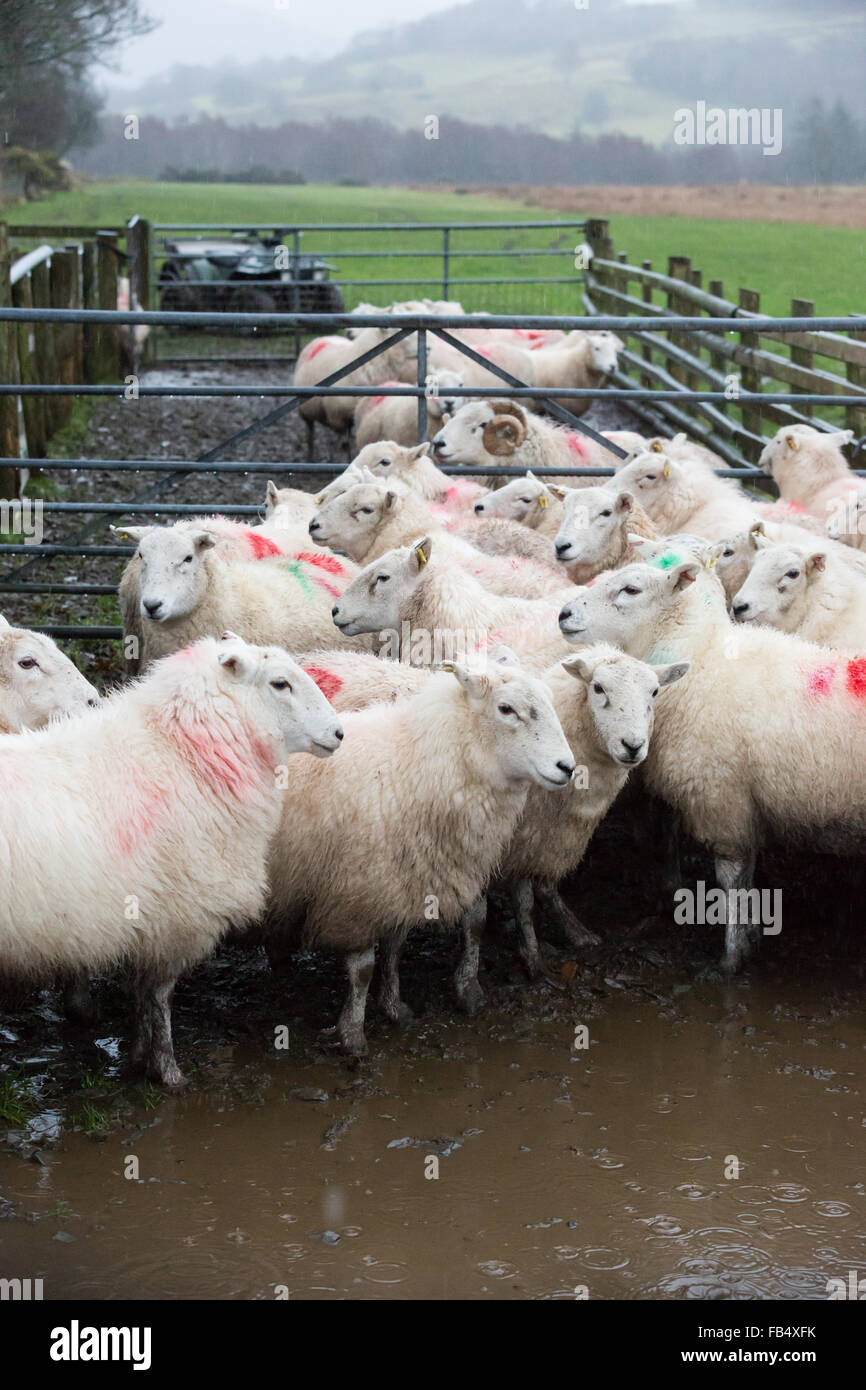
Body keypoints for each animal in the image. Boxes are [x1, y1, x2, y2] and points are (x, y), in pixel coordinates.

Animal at [0, 634, 344, 1085]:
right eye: (280, 683)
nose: (339, 733)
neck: (179, 750)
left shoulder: (153, 921)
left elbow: (142, 994)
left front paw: (136, 1058)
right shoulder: (178, 914)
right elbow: (158, 997)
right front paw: (166, 1070)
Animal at [264, 655, 575, 1053]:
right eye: (506, 709)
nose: (567, 767)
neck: (413, 764)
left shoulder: (402, 882)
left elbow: (395, 949)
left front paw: (394, 1006)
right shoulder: (357, 894)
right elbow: (362, 969)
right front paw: (354, 1036)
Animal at [557, 549, 866, 971]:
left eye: (630, 589)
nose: (564, 614)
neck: (698, 657)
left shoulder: (721, 796)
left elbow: (732, 878)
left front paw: (731, 958)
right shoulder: (744, 803)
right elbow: (748, 873)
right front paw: (752, 934)